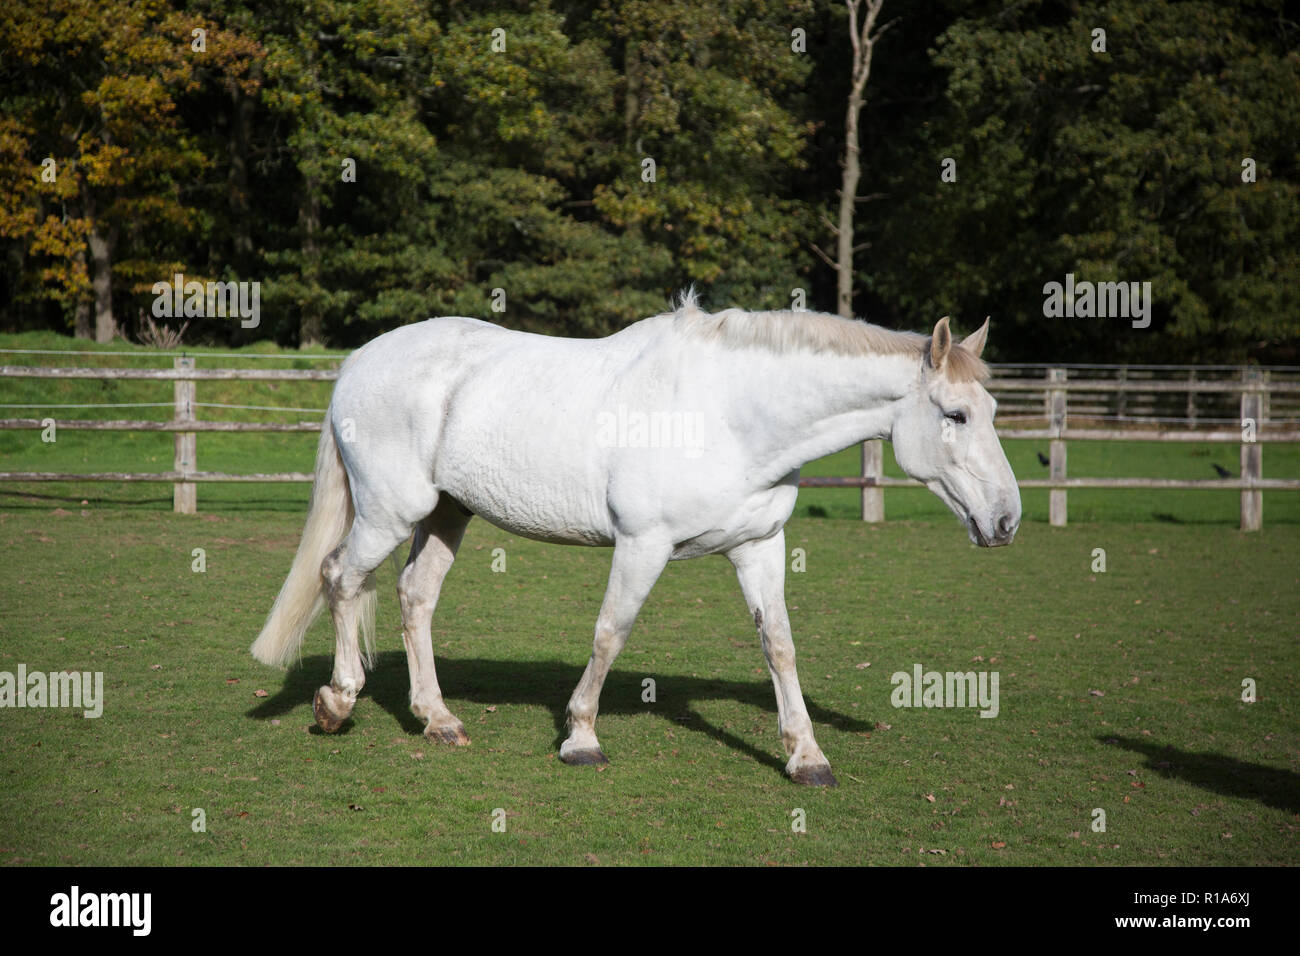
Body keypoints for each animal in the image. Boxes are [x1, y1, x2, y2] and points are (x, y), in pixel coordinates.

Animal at [251, 292, 1021, 786]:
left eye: (990, 409)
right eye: (955, 414)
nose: (1007, 520)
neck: (732, 412)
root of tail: (357, 363)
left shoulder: (760, 545)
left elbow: (779, 644)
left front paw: (806, 757)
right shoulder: (642, 544)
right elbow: (610, 633)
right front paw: (581, 739)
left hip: (447, 513)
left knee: (413, 597)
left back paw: (437, 719)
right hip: (389, 511)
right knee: (340, 578)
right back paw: (337, 702)